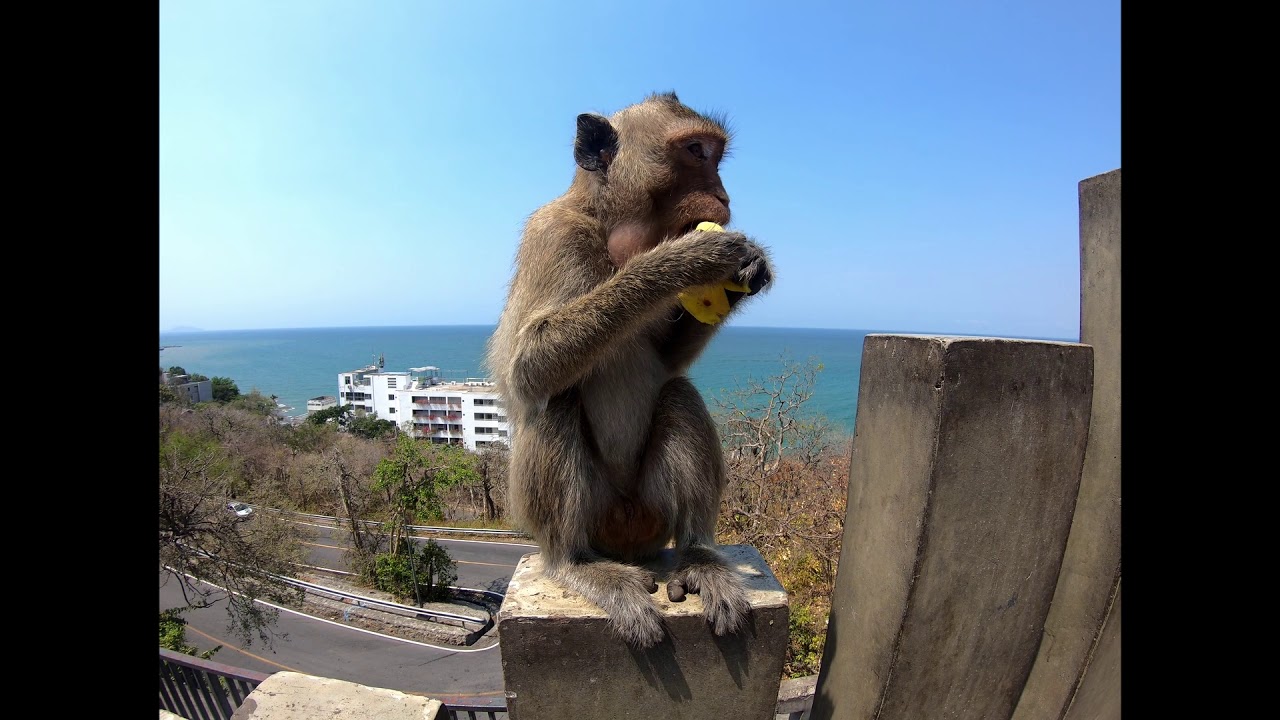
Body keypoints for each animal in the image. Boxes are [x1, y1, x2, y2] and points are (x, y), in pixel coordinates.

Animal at [485, 91, 773, 648]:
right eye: (696, 152)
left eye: (715, 156)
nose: (723, 196)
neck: (609, 228)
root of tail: (625, 537)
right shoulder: (554, 235)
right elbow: (528, 368)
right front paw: (685, 259)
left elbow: (667, 363)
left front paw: (751, 268)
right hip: (596, 517)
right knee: (556, 403)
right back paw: (575, 564)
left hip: (651, 514)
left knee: (679, 393)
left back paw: (698, 555)